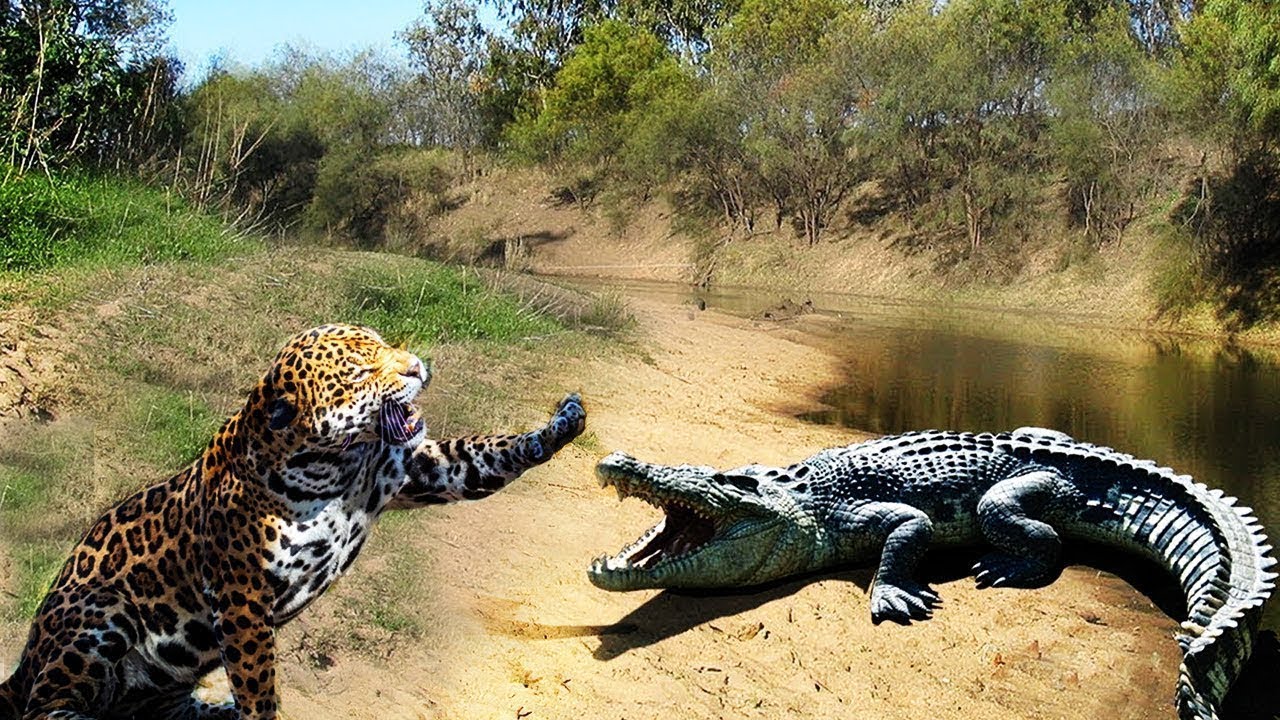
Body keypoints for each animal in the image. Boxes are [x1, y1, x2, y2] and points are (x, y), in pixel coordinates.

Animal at [0, 323, 585, 720]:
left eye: (385, 346)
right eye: (362, 372)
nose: (418, 367)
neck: (332, 465)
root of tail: (23, 665)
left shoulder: (420, 469)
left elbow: (487, 455)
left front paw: (564, 421)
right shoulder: (241, 597)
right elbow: (257, 680)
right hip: (100, 613)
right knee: (43, 707)